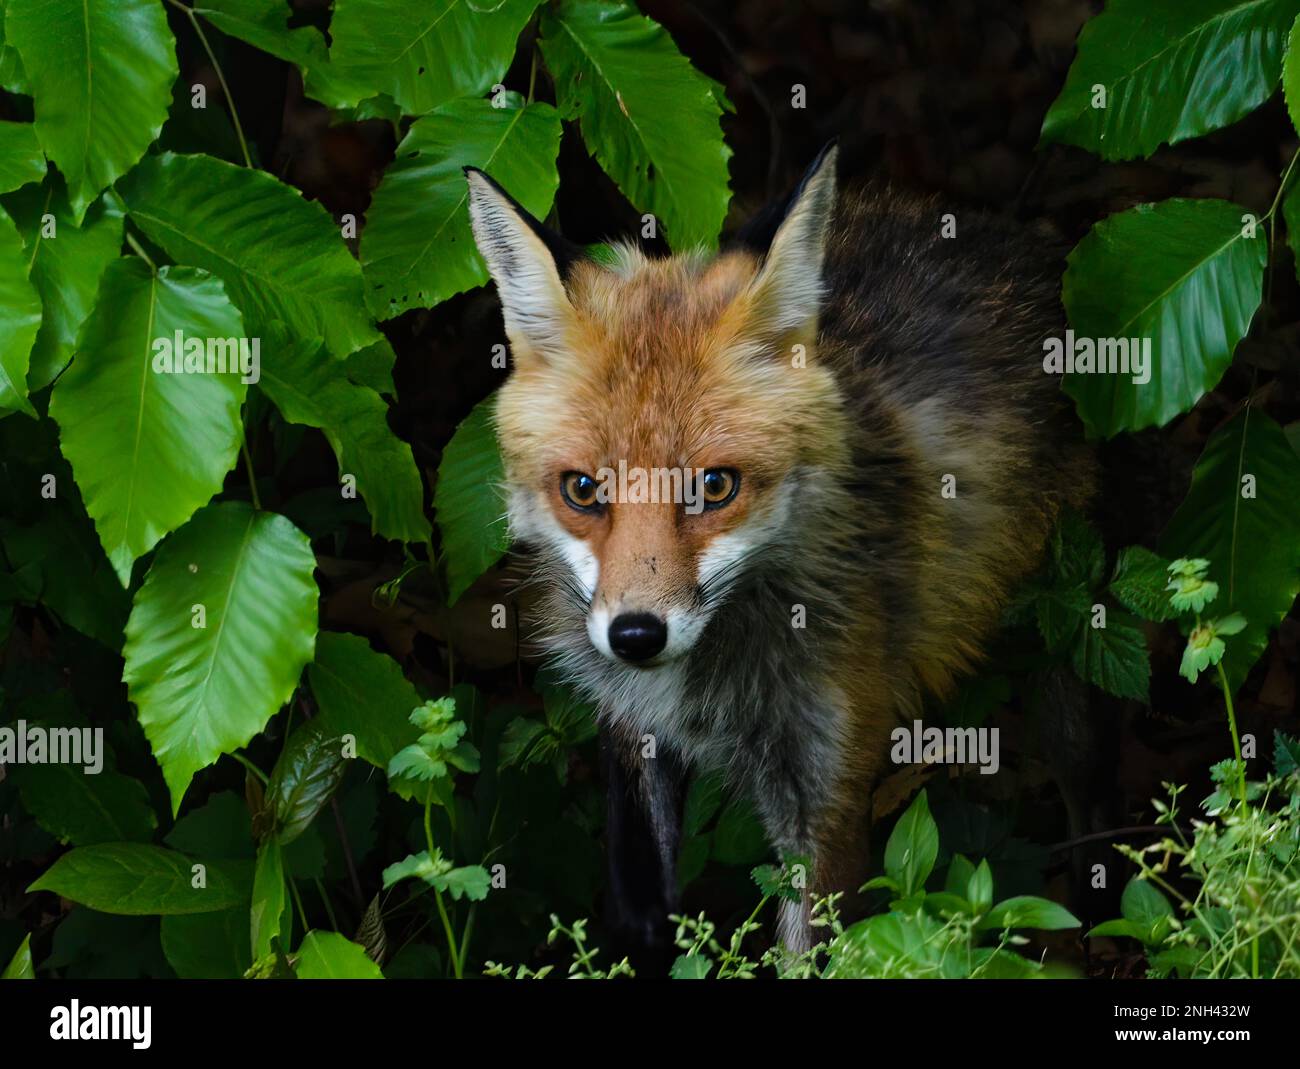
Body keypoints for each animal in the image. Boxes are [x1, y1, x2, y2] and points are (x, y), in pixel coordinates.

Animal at [464, 143, 1095, 955]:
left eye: (714, 485)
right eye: (581, 490)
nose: (636, 635)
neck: (706, 687)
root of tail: (1013, 234)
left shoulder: (826, 786)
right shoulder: (632, 737)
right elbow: (645, 913)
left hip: (1069, 653)